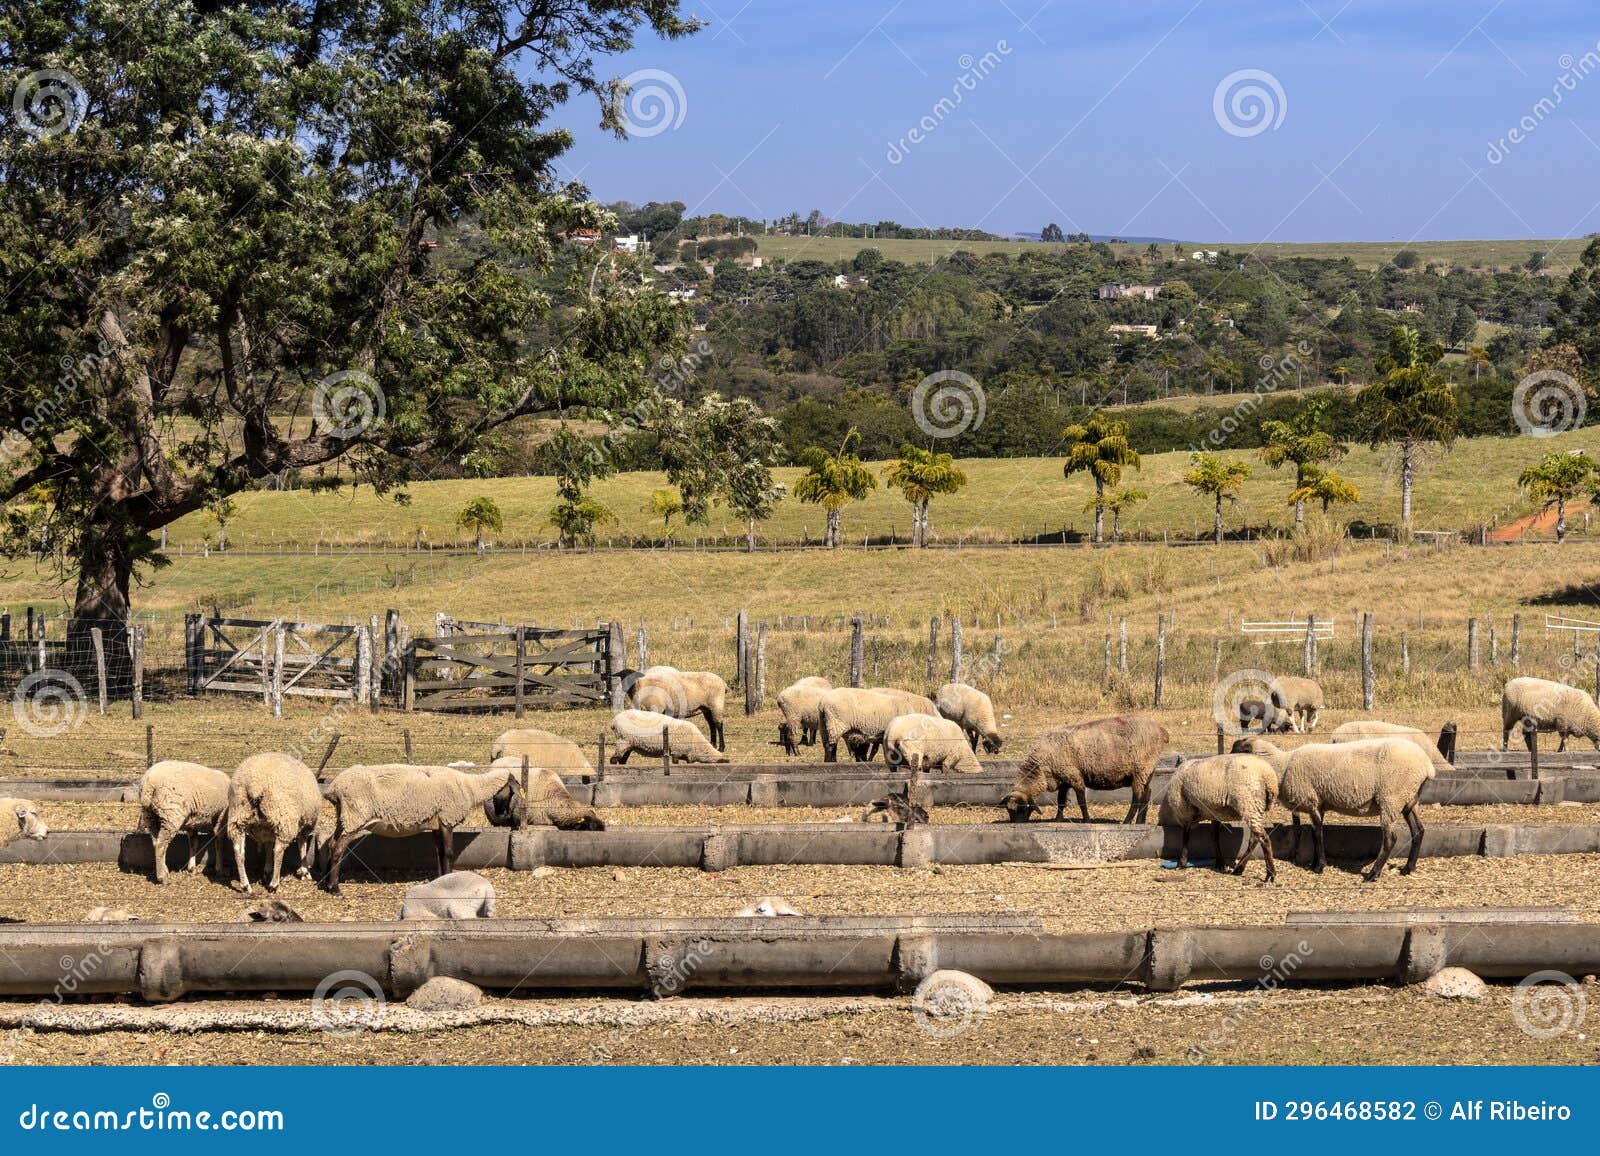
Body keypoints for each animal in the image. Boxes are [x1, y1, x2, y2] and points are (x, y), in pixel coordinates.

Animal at [224, 753, 322, 896]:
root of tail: (255, 783)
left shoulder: (266, 829)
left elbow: (268, 846)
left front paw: (267, 870)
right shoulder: (304, 826)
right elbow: (301, 846)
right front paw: (305, 871)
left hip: (238, 816)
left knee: (239, 852)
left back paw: (246, 885)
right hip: (283, 817)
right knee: (279, 850)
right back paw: (274, 884)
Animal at [322, 763, 522, 893]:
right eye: (512, 790)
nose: (502, 814)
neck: (471, 788)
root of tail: (333, 788)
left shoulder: (437, 824)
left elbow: (439, 853)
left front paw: (440, 879)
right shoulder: (447, 818)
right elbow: (448, 852)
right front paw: (448, 879)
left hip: (344, 818)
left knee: (331, 843)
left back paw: (325, 882)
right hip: (354, 817)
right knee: (338, 848)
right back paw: (335, 888)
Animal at [1000, 715, 1170, 824]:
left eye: (1022, 809)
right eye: (1009, 811)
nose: (1015, 824)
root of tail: (1161, 730)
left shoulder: (1075, 777)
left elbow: (1081, 801)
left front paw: (1086, 820)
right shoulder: (1063, 779)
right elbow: (1061, 801)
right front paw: (1058, 819)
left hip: (1141, 769)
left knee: (1137, 798)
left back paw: (1127, 821)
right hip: (1147, 771)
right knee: (1147, 794)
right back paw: (1140, 822)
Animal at [1158, 754, 1280, 882]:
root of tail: (1268, 777)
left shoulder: (1187, 812)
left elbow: (1185, 838)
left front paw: (1181, 863)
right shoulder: (1214, 813)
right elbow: (1215, 837)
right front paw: (1220, 863)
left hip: (1248, 802)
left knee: (1264, 839)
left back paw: (1270, 873)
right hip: (1255, 807)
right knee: (1255, 839)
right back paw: (1239, 869)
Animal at [1233, 736, 1434, 882]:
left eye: (1237, 751)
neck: (1283, 765)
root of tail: (1427, 765)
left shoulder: (1312, 800)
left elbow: (1317, 834)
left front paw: (1319, 866)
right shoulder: (1319, 804)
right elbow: (1316, 833)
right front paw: (1316, 863)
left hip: (1391, 797)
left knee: (1391, 839)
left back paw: (1373, 874)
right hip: (1408, 799)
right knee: (1418, 830)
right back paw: (1408, 868)